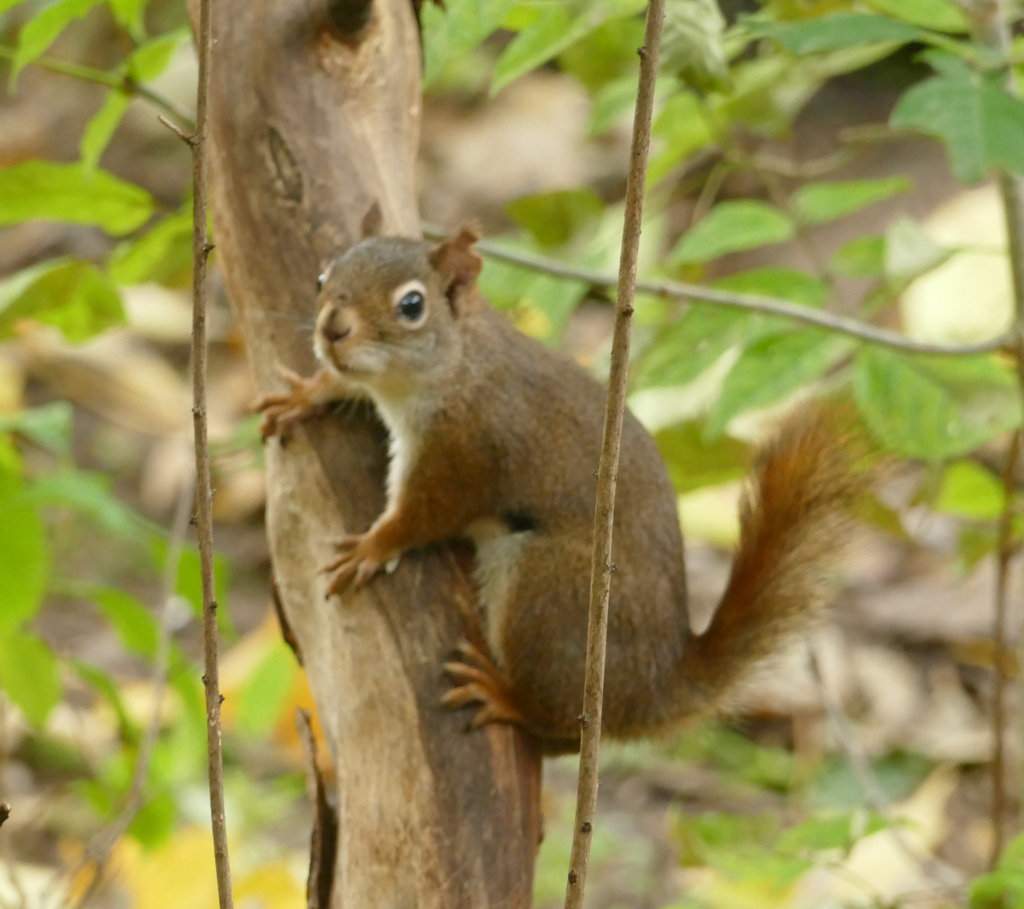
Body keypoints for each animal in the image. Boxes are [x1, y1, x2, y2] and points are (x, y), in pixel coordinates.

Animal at [257, 223, 868, 753]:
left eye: (411, 306)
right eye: (322, 278)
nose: (332, 330)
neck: (454, 365)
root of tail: (657, 689)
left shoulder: (466, 452)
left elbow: (427, 514)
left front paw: (370, 547)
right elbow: (345, 386)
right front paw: (308, 392)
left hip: (545, 590)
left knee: (557, 723)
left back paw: (504, 696)